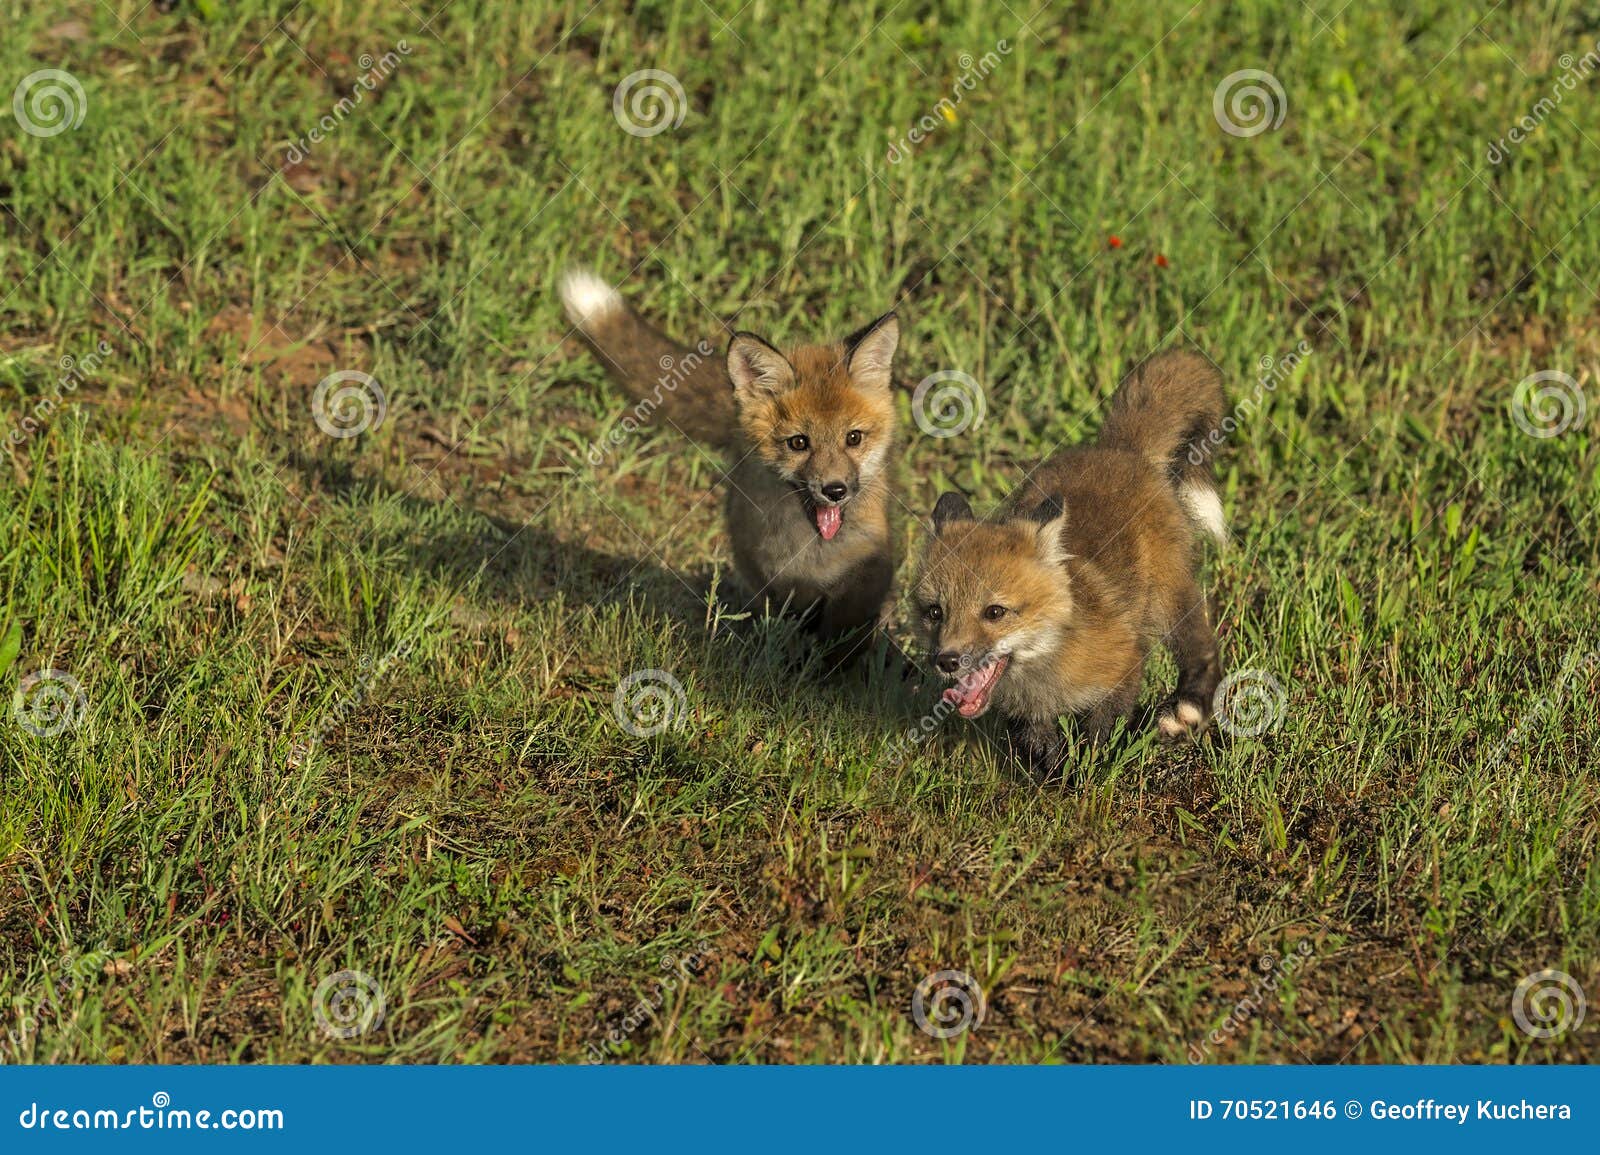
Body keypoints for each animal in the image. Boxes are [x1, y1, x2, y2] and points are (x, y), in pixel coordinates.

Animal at [559, 268, 901, 657]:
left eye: (853, 438)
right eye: (799, 443)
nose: (835, 491)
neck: (812, 552)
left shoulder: (865, 576)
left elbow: (844, 639)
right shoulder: (766, 578)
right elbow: (783, 629)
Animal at [912, 347, 1229, 781]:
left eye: (994, 612)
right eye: (935, 612)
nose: (946, 660)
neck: (1043, 674)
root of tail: (1118, 448)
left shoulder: (1125, 660)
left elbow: (1099, 731)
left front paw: (1086, 776)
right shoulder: (1023, 713)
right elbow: (1035, 739)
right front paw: (1052, 769)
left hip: (1169, 600)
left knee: (1205, 651)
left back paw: (1187, 710)